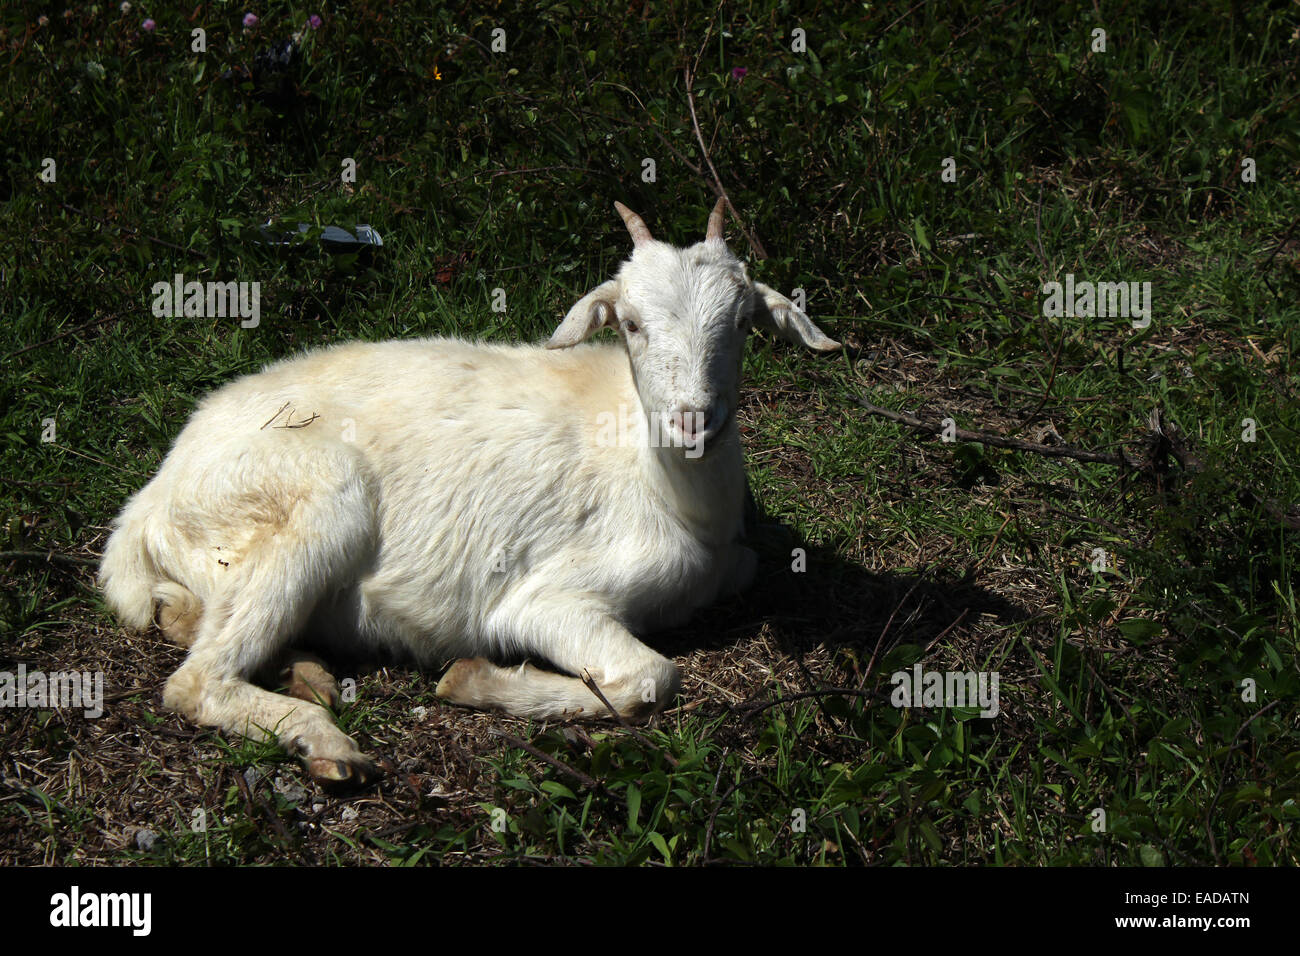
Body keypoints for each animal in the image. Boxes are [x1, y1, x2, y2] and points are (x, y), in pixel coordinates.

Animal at [99, 200, 839, 787]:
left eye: (742, 322)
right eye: (629, 323)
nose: (693, 421)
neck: (675, 497)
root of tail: (151, 499)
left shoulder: (734, 562)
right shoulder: (547, 599)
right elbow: (650, 678)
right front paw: (474, 679)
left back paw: (300, 670)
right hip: (317, 497)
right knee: (194, 682)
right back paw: (326, 743)